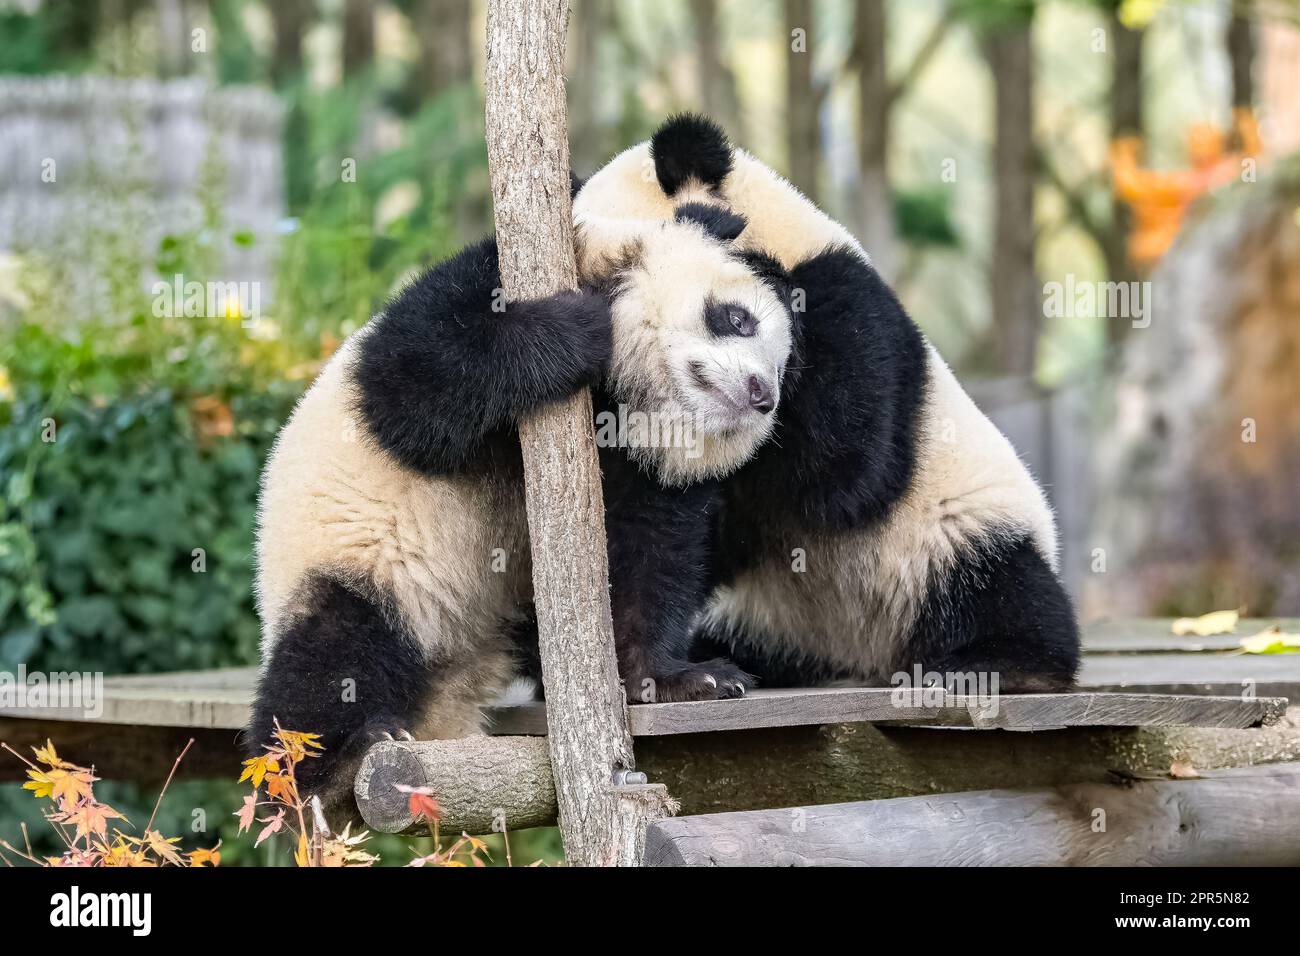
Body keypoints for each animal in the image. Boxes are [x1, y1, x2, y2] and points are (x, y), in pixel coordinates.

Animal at [248, 166, 796, 804]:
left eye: (784, 370)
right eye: (737, 318)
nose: (763, 395)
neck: (625, 399)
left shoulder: (643, 470)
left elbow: (647, 558)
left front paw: (681, 678)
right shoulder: (487, 280)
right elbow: (415, 384)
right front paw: (579, 329)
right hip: (364, 565)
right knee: (332, 652)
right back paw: (333, 764)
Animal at [574, 114, 1080, 693]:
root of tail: (863, 654)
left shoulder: (847, 297)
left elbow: (845, 466)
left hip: (957, 527)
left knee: (1004, 584)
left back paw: (997, 662)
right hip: (764, 607)